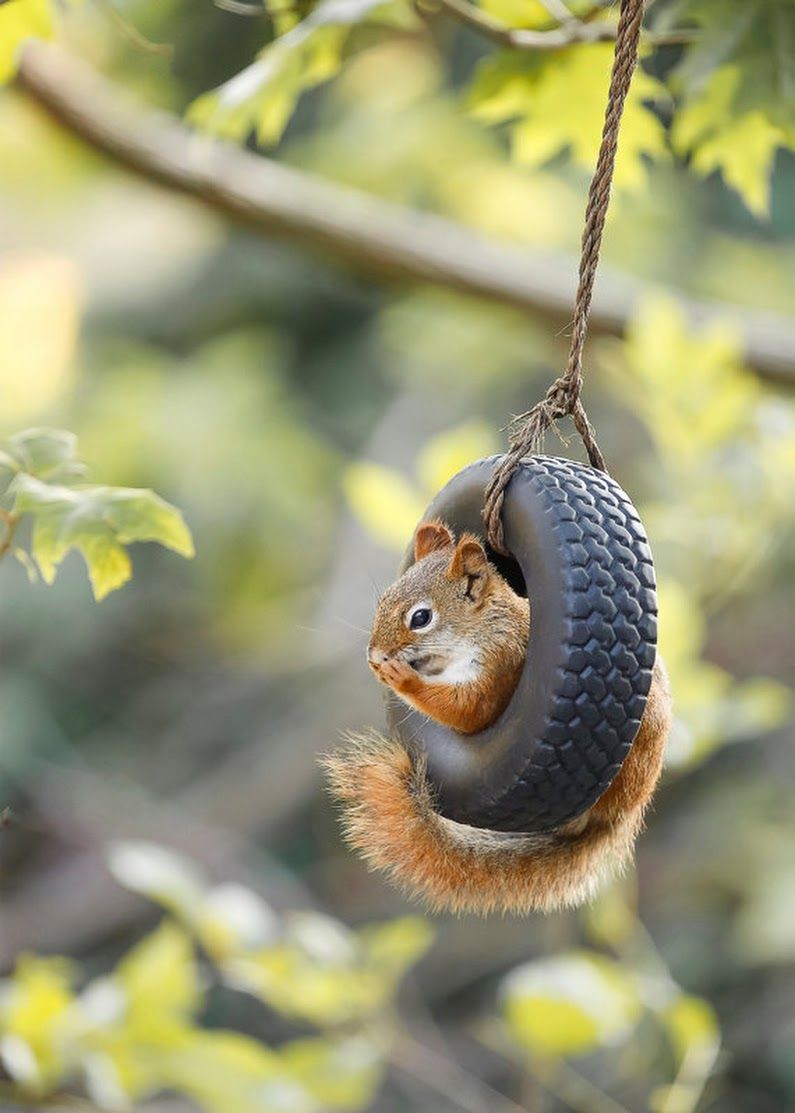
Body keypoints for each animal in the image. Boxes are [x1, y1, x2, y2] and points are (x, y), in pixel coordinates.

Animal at [324, 520, 672, 915]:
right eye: (382, 600)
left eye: (421, 618)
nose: (375, 654)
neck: (483, 624)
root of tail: (616, 820)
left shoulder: (500, 661)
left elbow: (470, 710)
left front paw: (399, 676)